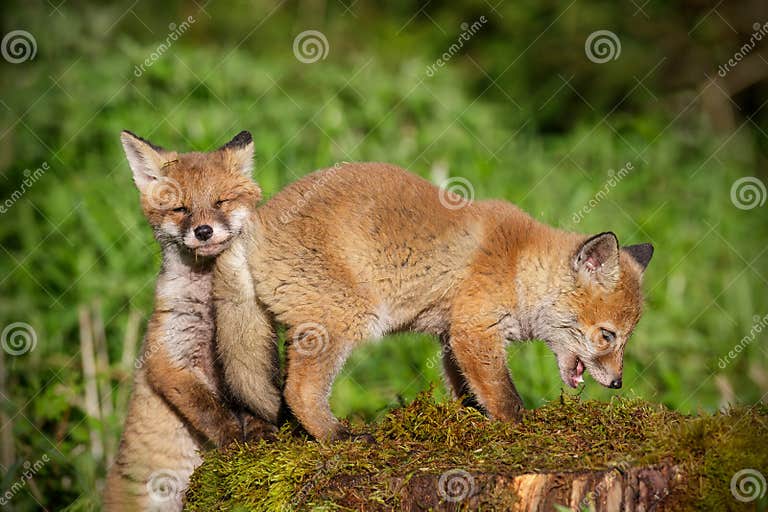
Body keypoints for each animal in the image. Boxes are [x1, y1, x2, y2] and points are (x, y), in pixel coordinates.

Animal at [103, 130, 280, 511]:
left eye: (220, 202)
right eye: (180, 209)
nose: (203, 231)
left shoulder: (248, 346)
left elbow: (254, 396)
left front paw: (260, 434)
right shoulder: (167, 358)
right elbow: (210, 409)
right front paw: (234, 441)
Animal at [214, 162, 654, 442]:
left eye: (626, 338)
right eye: (608, 336)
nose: (618, 383)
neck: (518, 268)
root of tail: (255, 222)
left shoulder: (452, 336)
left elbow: (468, 390)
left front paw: (471, 419)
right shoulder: (475, 331)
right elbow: (506, 397)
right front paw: (524, 429)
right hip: (346, 319)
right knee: (298, 391)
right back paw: (338, 436)